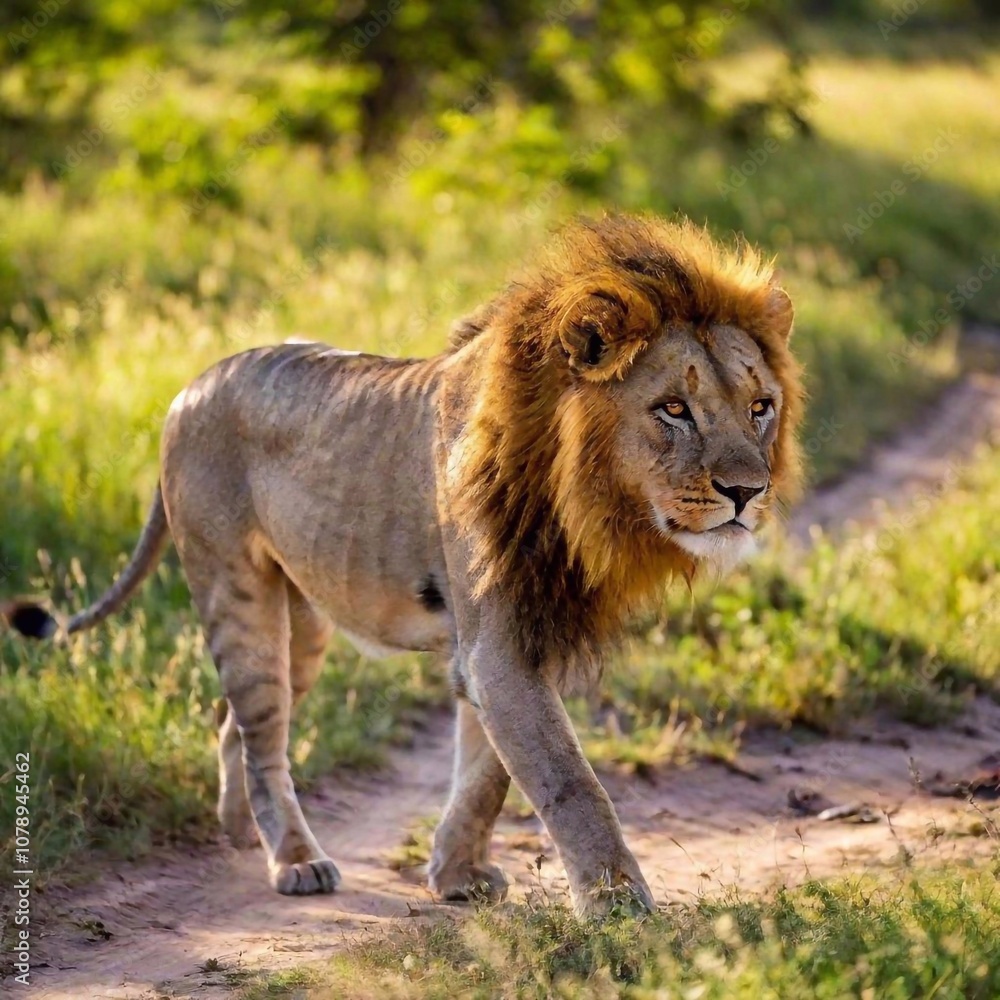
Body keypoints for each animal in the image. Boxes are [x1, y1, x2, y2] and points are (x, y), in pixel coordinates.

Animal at [6, 214, 802, 916]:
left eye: (760, 407)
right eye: (674, 409)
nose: (746, 491)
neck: (585, 496)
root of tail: (189, 386)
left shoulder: (523, 633)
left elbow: (487, 776)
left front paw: (457, 873)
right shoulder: (497, 646)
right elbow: (567, 781)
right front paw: (618, 908)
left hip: (306, 617)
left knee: (236, 721)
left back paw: (238, 831)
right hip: (235, 590)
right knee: (263, 735)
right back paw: (293, 860)